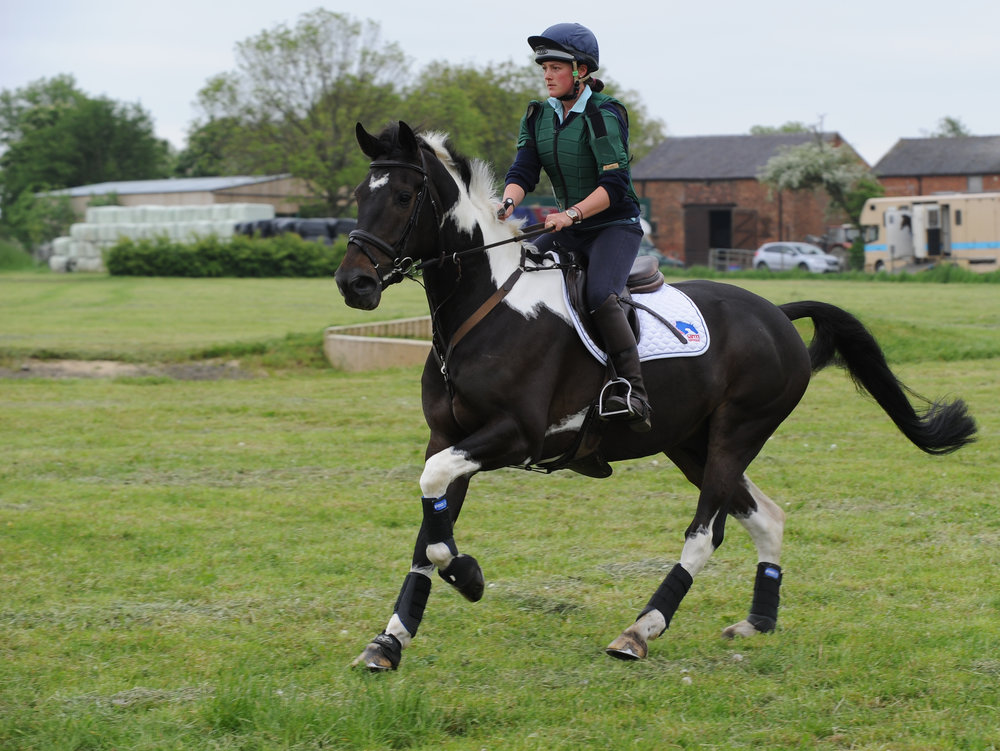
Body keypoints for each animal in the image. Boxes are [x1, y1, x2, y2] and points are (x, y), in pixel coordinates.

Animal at [334, 121, 976, 671]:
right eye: (359, 196)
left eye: (402, 197)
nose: (352, 283)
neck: (487, 308)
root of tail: (775, 312)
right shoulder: (449, 436)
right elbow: (429, 527)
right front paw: (391, 640)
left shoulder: (515, 436)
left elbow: (436, 510)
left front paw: (467, 575)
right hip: (690, 442)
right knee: (765, 518)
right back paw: (757, 622)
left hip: (737, 432)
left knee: (704, 535)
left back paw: (640, 630)